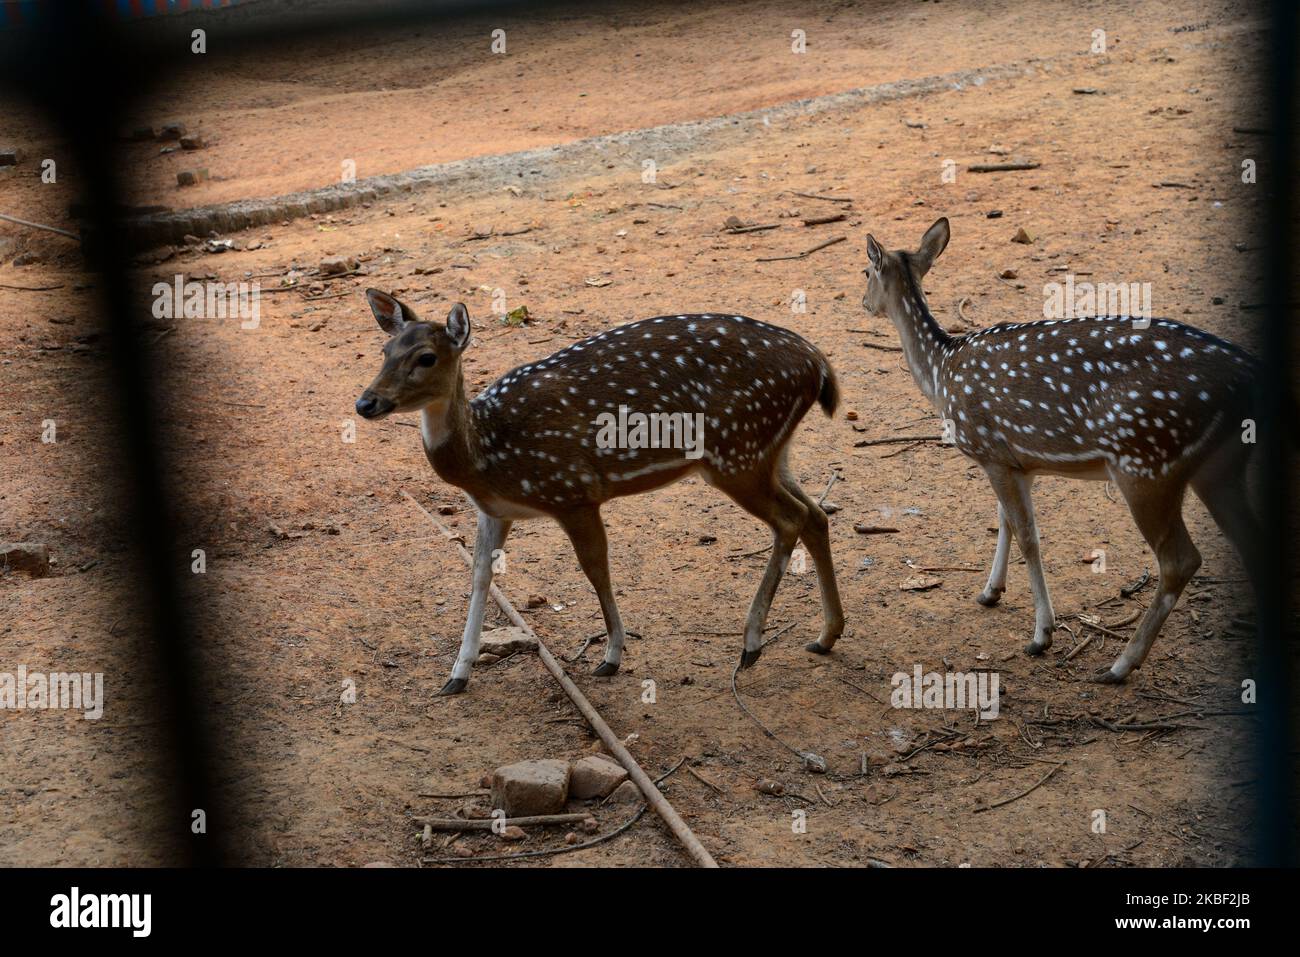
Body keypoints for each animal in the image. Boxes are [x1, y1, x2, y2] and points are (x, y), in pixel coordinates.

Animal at [355, 289, 845, 695]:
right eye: (384, 351)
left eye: (426, 357)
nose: (365, 403)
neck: (487, 455)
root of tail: (819, 364)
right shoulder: (493, 511)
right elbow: (480, 576)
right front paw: (456, 675)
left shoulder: (573, 492)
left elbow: (595, 568)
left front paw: (611, 656)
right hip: (768, 451)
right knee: (816, 514)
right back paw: (825, 636)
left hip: (736, 454)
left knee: (791, 519)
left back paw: (752, 644)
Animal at [861, 217, 1263, 683]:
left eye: (865, 271)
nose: (864, 302)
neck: (941, 373)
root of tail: (1248, 375)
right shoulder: (1017, 461)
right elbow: (1005, 522)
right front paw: (990, 592)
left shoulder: (989, 450)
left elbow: (1028, 537)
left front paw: (1041, 635)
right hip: (1219, 467)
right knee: (1252, 543)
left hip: (1147, 463)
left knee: (1180, 561)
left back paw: (1120, 665)